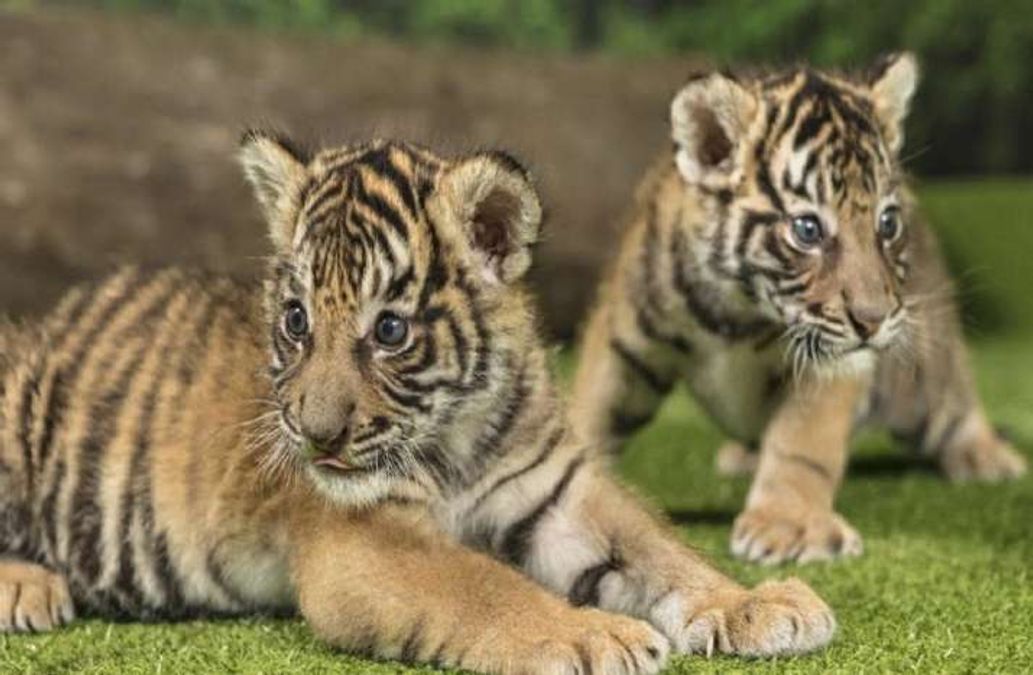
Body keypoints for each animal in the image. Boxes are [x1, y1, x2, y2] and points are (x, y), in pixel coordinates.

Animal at [0, 131, 836, 672]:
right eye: (296, 319)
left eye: (390, 329)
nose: (315, 435)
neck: (457, 434)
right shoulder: (365, 539)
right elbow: (481, 585)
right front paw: (593, 636)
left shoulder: (558, 494)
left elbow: (661, 550)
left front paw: (755, 604)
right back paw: (27, 585)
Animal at [571, 52, 1027, 567]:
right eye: (807, 229)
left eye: (887, 223)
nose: (873, 320)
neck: (738, 310)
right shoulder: (624, 338)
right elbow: (592, 408)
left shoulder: (833, 358)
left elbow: (801, 443)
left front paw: (789, 527)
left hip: (922, 376)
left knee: (953, 405)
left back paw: (987, 458)